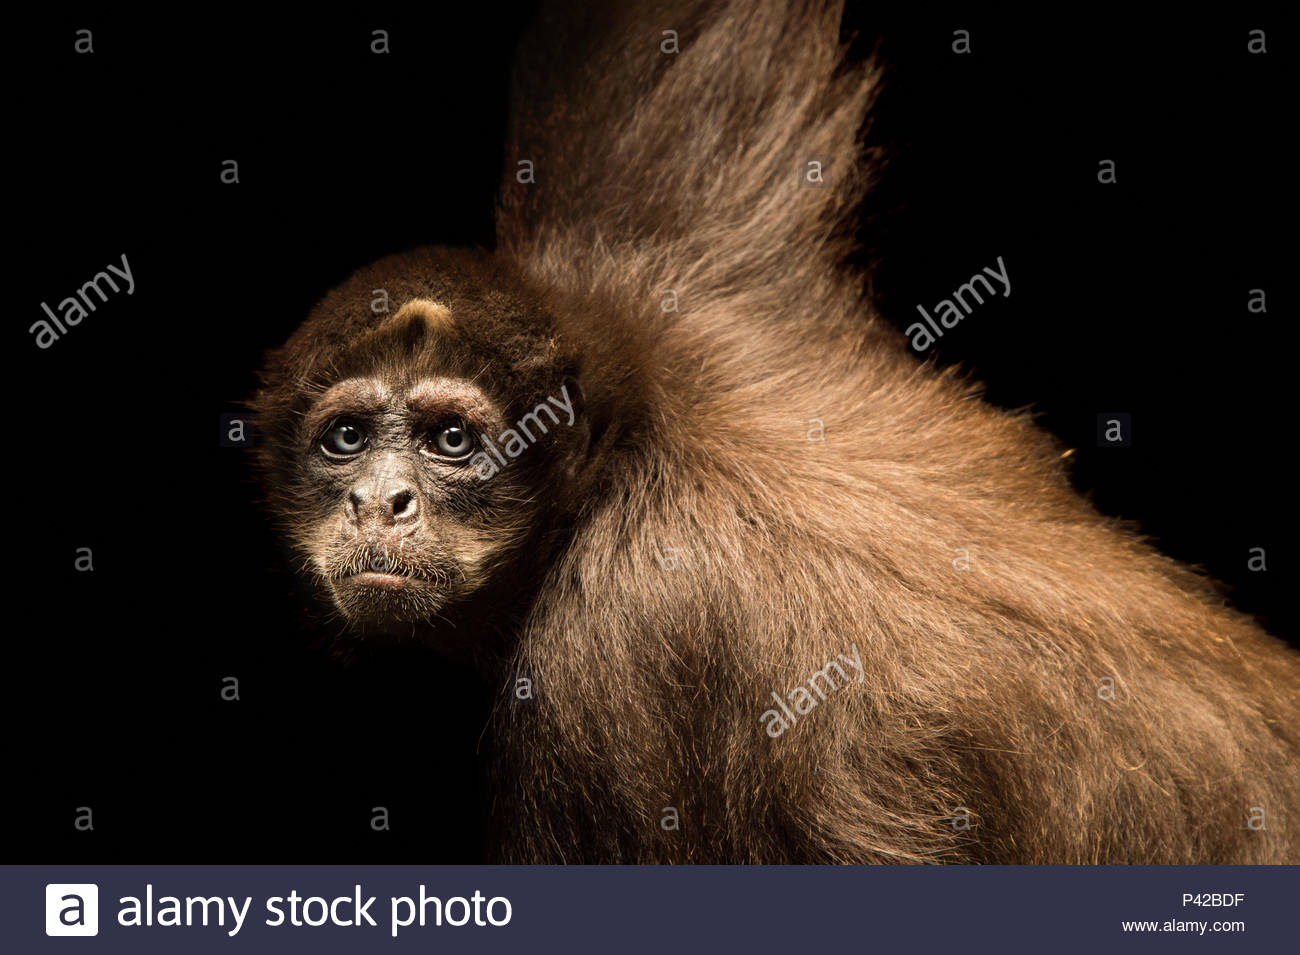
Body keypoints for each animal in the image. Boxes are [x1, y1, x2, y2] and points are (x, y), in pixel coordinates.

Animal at [251, 0, 1300, 863]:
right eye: (346, 438)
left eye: (451, 442)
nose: (380, 500)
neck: (633, 457)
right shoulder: (675, 275)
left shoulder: (611, 668)